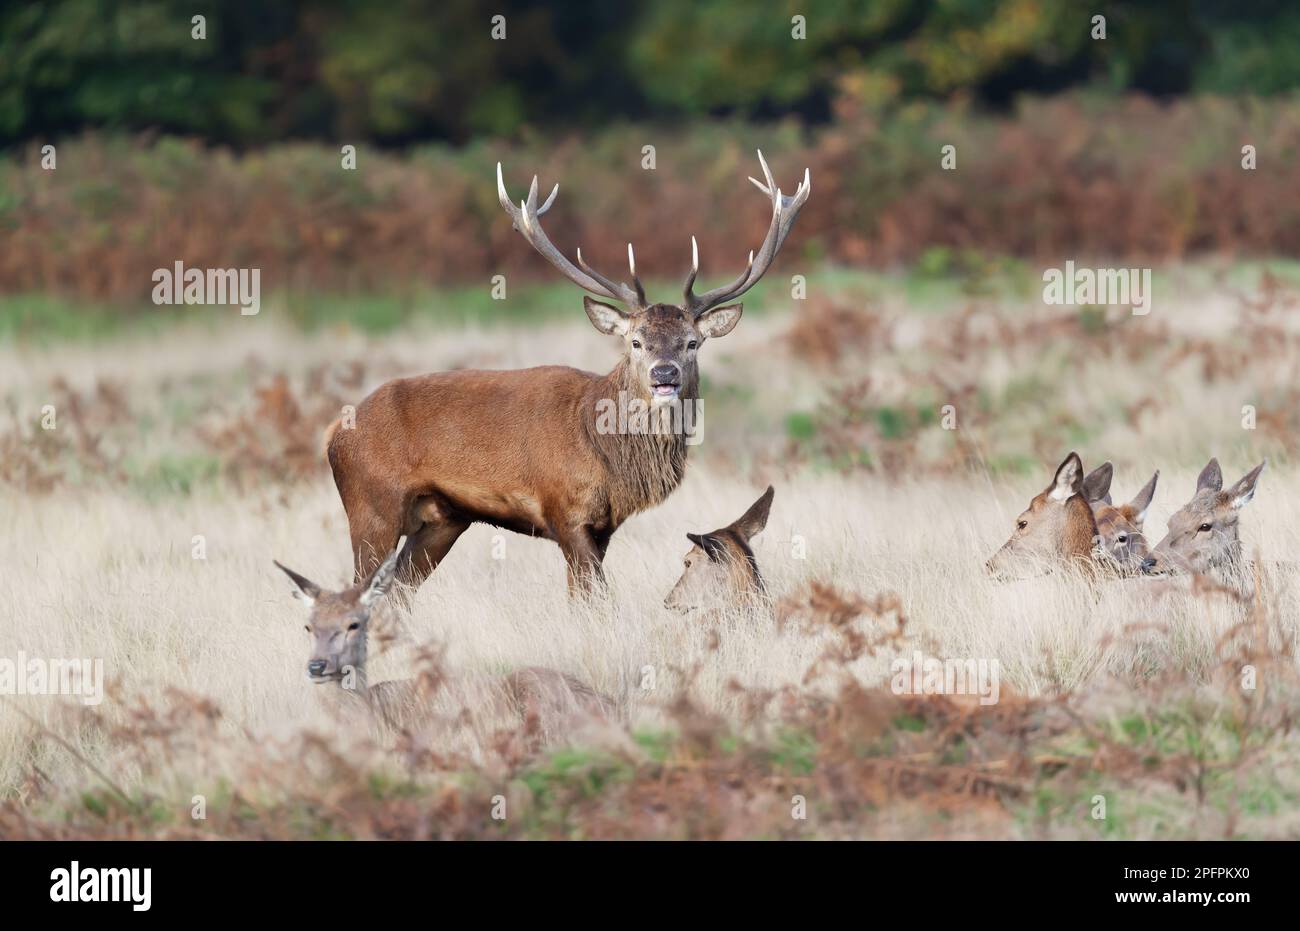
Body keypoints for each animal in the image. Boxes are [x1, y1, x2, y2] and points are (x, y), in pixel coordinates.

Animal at [325, 151, 810, 595]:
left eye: (692, 342)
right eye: (636, 342)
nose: (664, 374)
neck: (606, 452)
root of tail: (333, 433)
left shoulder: (603, 528)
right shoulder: (566, 512)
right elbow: (594, 600)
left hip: (442, 521)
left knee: (398, 593)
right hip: (371, 506)